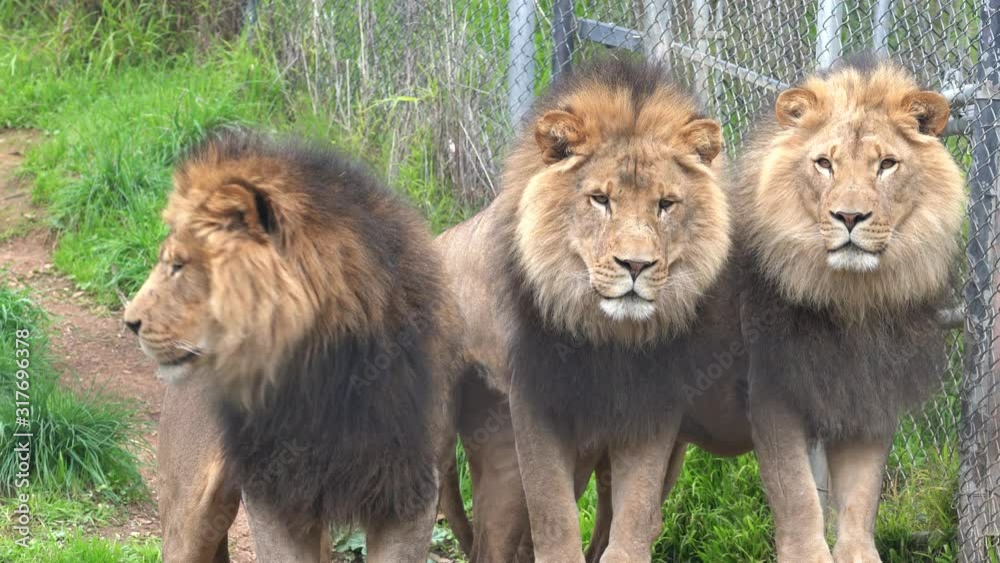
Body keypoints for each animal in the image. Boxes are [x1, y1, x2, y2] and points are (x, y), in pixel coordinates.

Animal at [122, 131, 465, 563]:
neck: (322, 374)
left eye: (180, 266)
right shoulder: (274, 492)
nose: (130, 321)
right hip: (190, 509)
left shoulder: (410, 493)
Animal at [436, 57, 732, 562]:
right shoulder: (534, 402)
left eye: (666, 204)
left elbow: (633, 522)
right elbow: (553, 518)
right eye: (600, 199)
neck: (608, 337)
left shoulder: (656, 408)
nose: (636, 264)